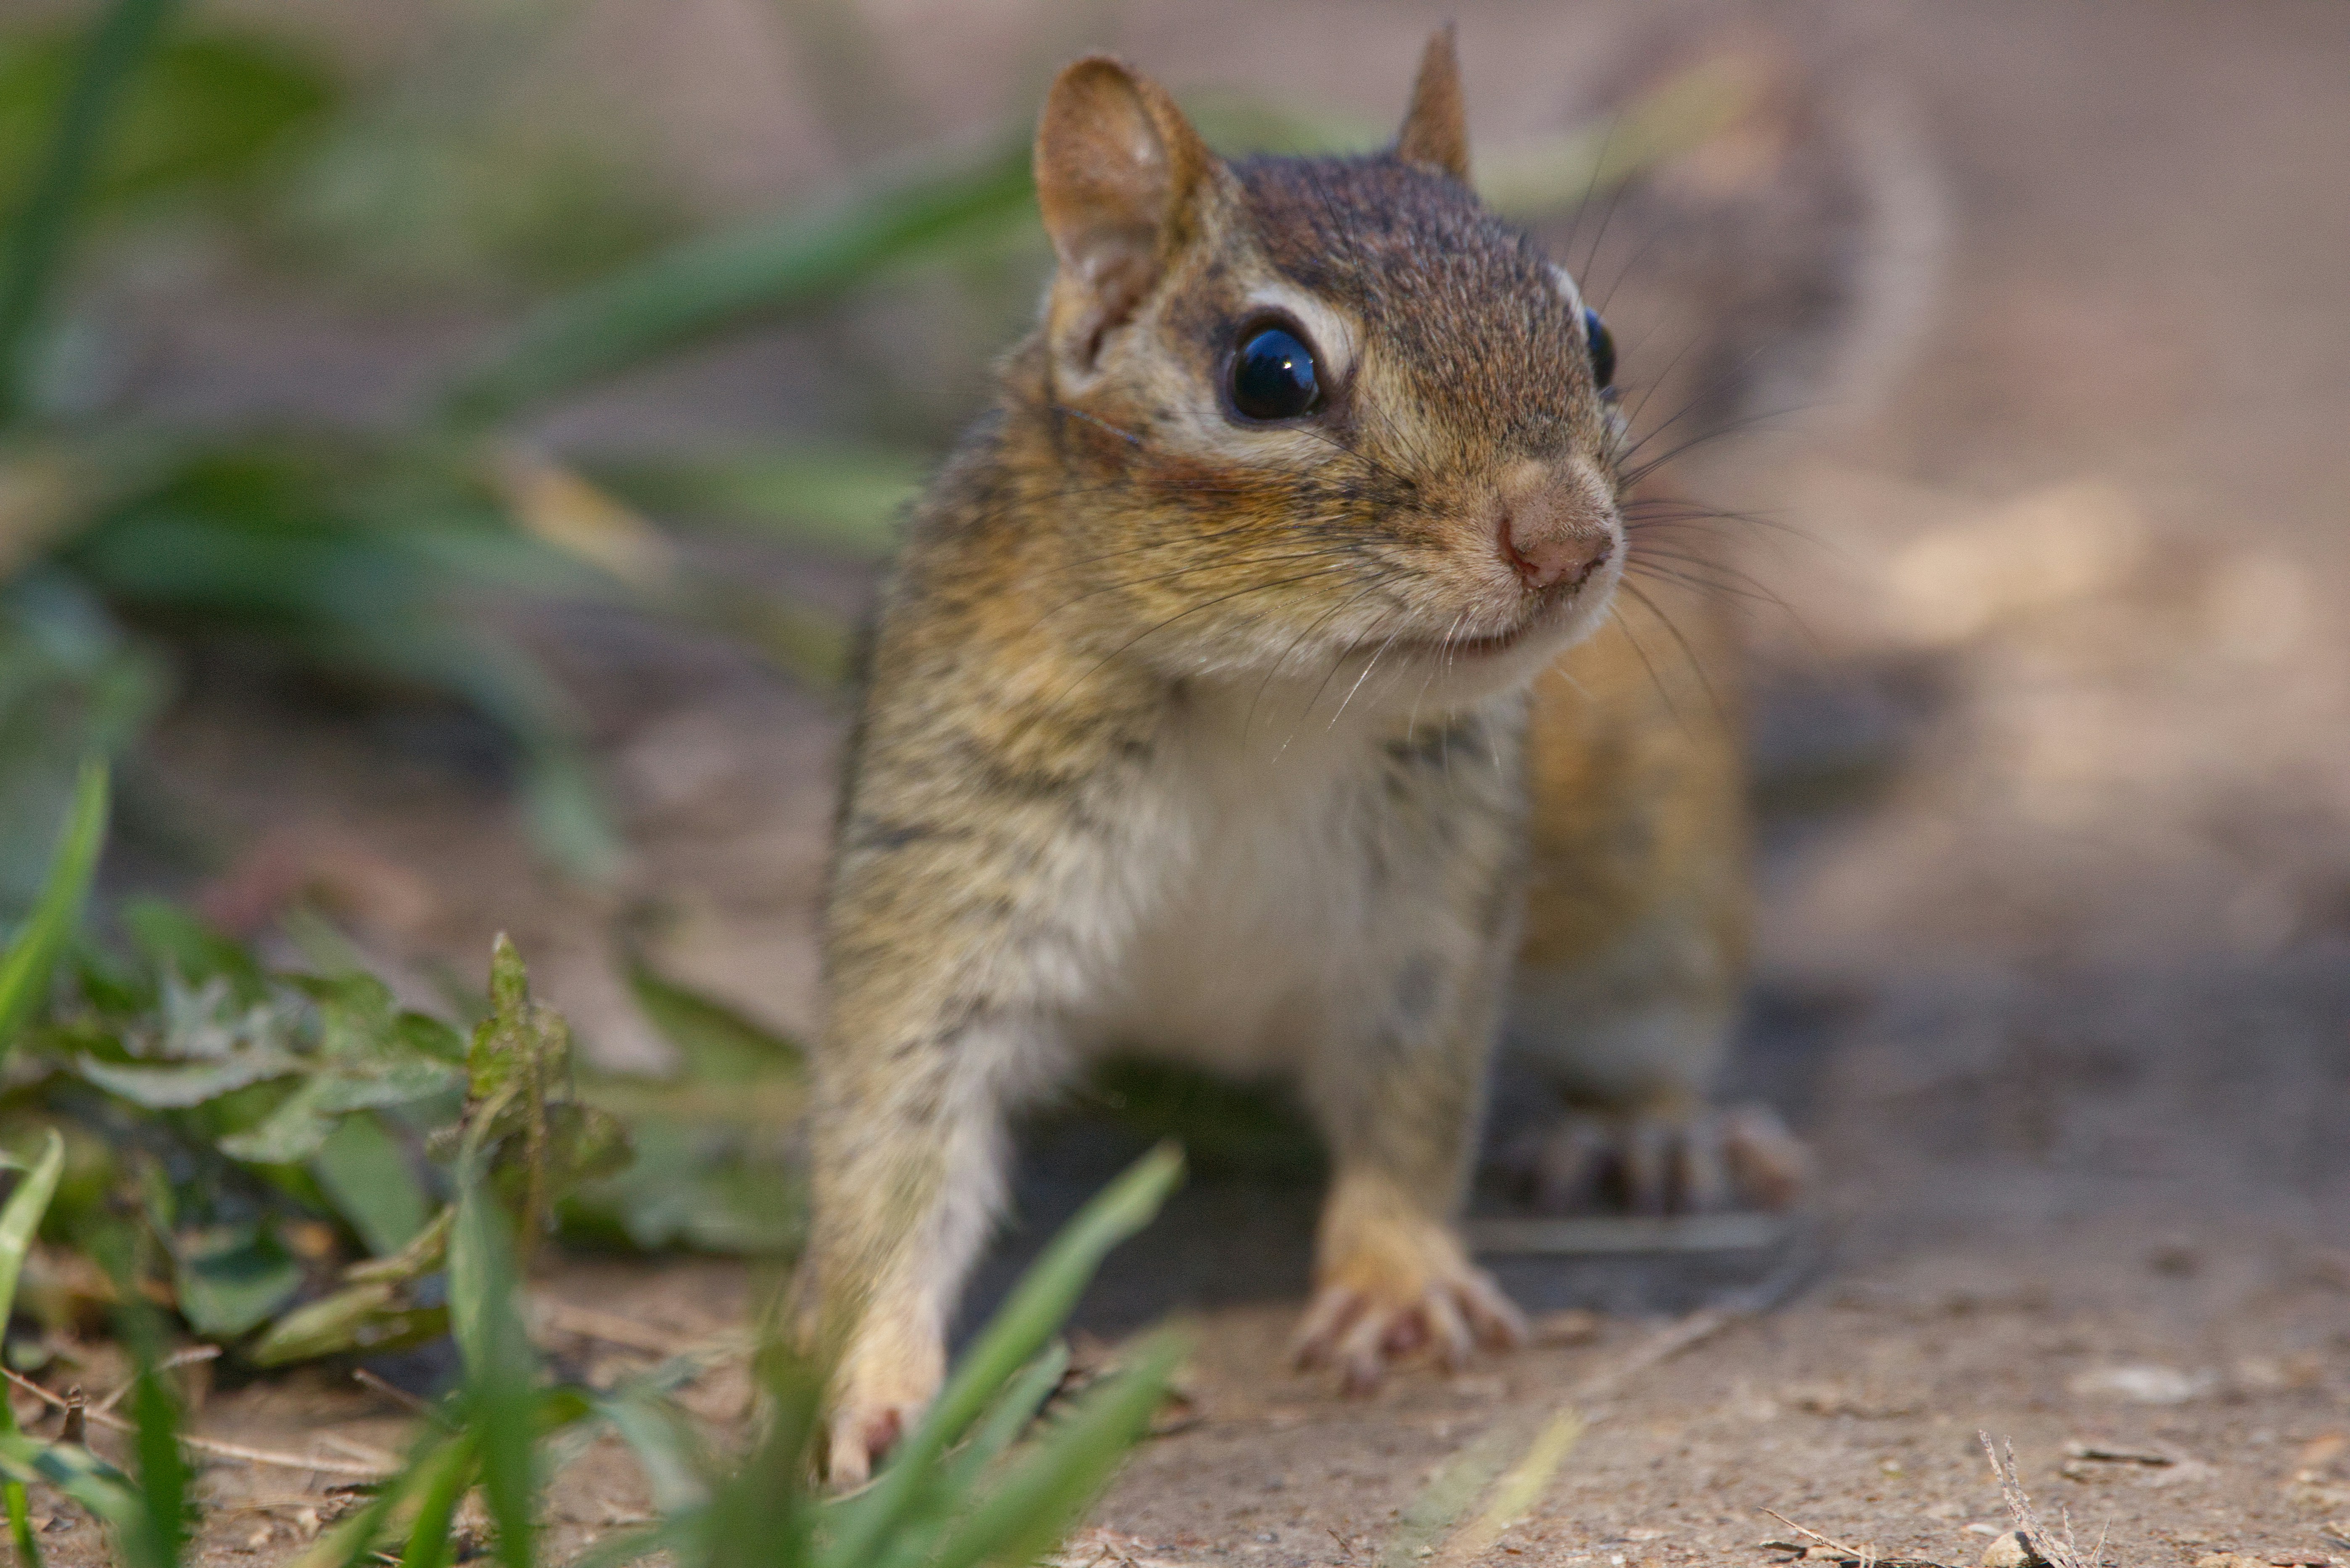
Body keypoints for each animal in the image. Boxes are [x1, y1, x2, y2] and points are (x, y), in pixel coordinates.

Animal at [803, 28, 1861, 1483]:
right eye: (1268, 373)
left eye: (1596, 340)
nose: (1570, 541)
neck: (1264, 697)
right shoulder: (952, 869)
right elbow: (898, 1139)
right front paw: (873, 1386)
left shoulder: (1430, 919)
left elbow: (1415, 1108)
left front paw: (1397, 1279)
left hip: (1658, 886)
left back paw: (1643, 1128)